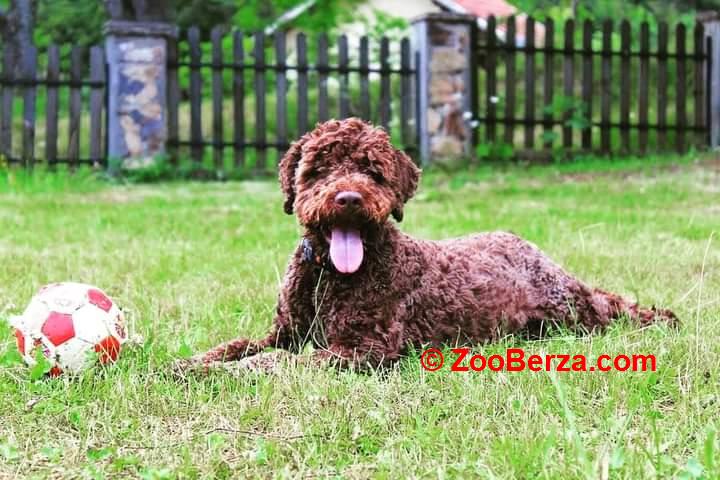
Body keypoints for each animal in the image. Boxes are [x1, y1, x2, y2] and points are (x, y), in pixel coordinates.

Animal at [193, 117, 676, 372]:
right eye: (320, 168)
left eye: (373, 171)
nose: (348, 198)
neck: (328, 278)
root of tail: (527, 245)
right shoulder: (285, 334)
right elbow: (237, 345)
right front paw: (196, 362)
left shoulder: (363, 348)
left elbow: (271, 362)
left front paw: (224, 374)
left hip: (573, 311)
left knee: (612, 308)